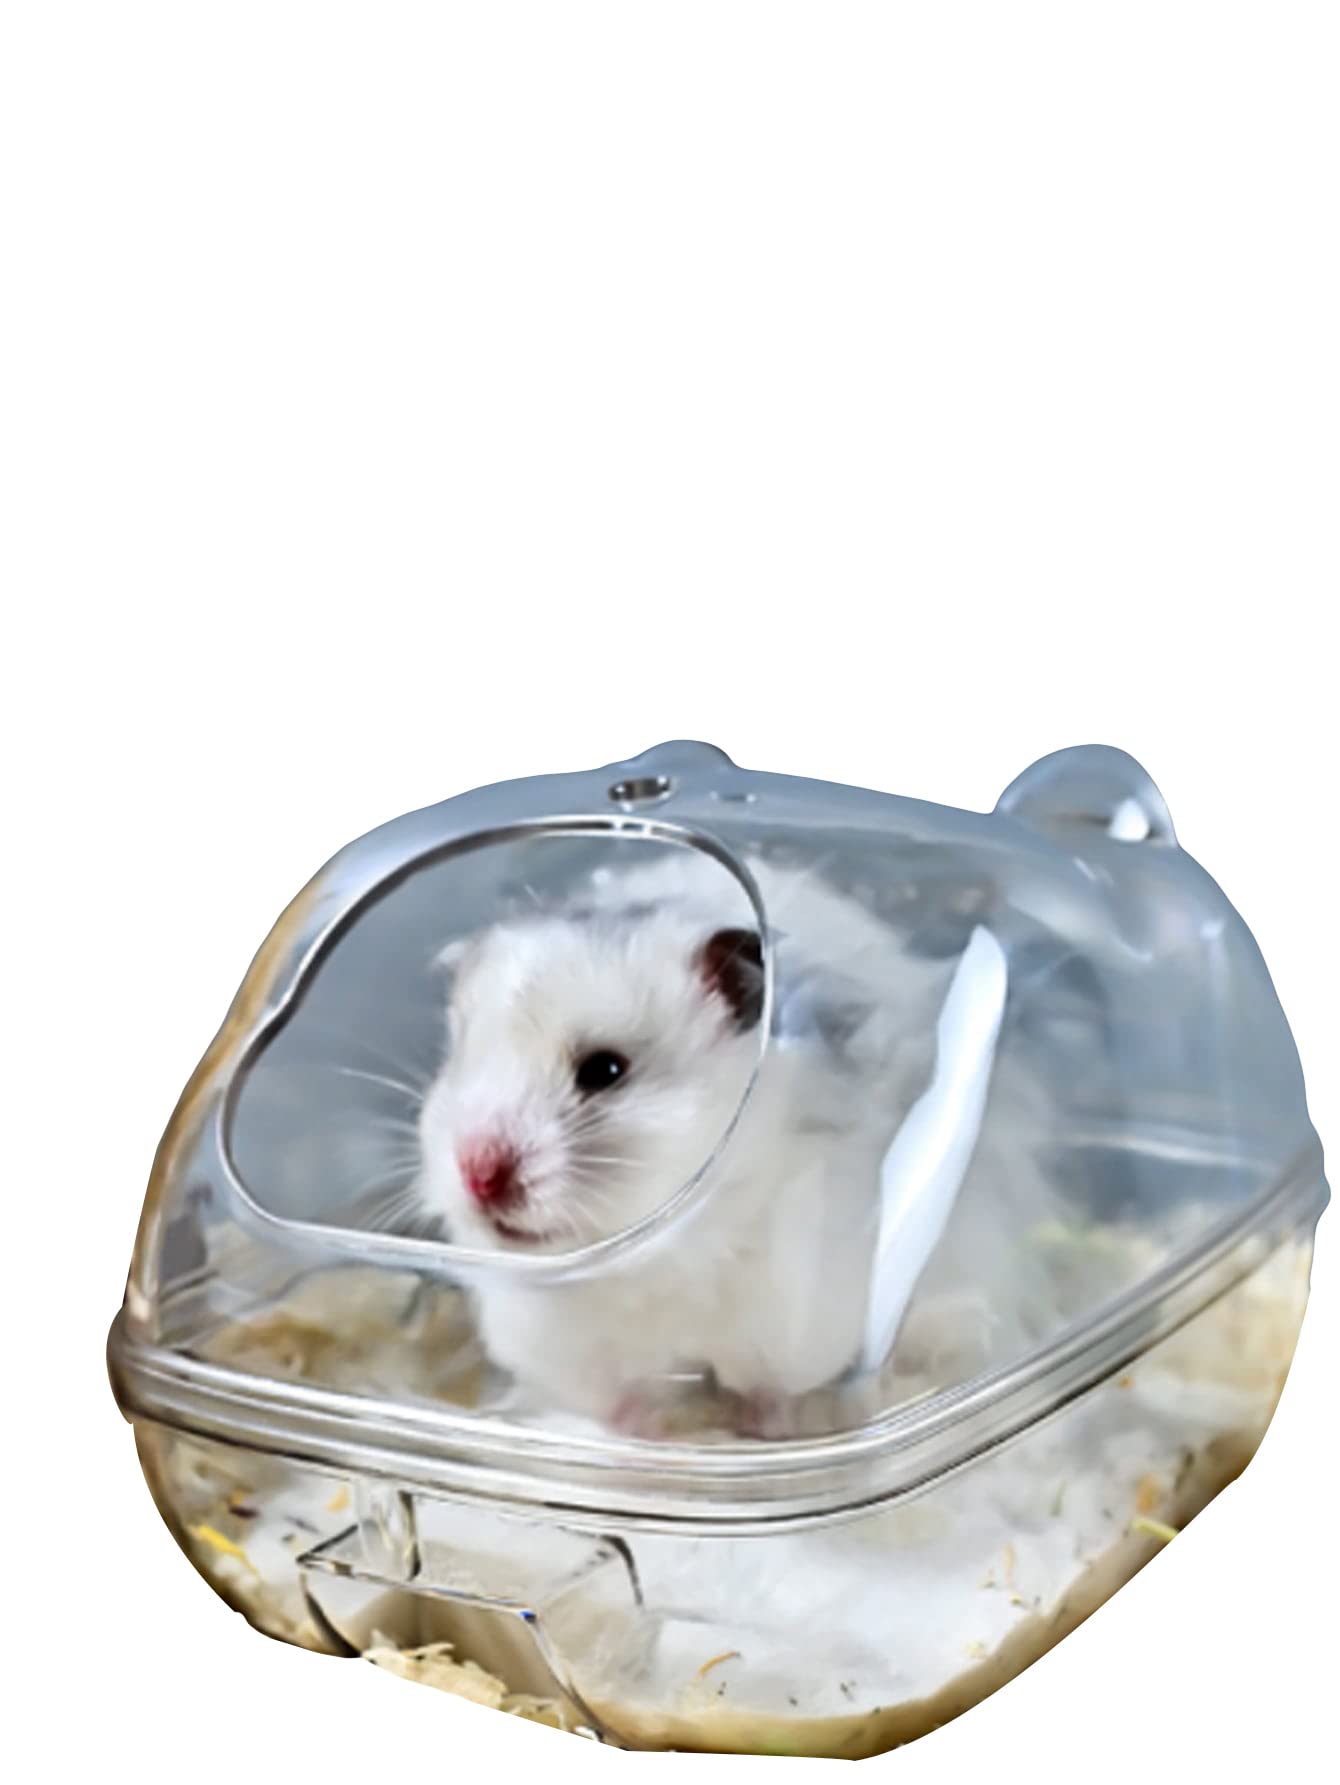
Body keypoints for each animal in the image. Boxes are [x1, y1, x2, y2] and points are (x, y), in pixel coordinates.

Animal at [415, 849, 1059, 1435]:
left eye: (605, 1070)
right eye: (460, 1059)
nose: (477, 1175)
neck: (658, 1255)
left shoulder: (793, 1315)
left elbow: (769, 1387)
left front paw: (763, 1431)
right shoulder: (577, 1352)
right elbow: (619, 1404)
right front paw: (644, 1443)